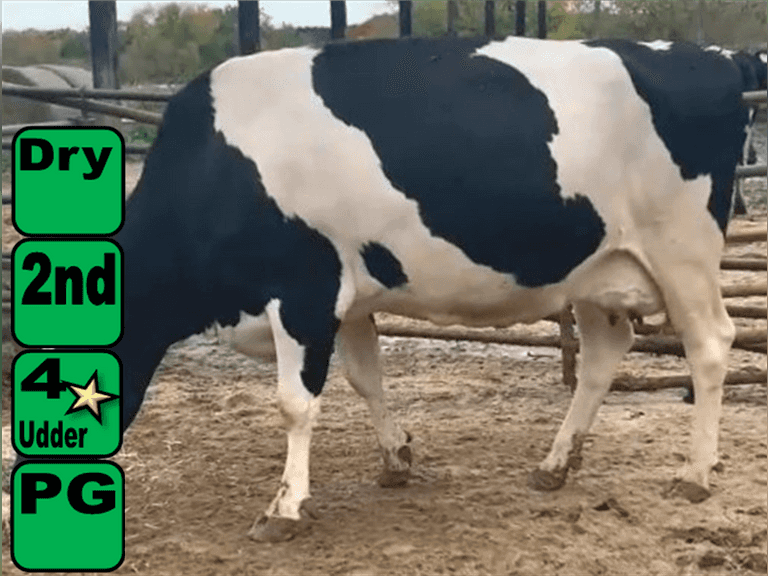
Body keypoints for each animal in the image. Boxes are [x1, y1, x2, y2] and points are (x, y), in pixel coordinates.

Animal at [103, 37, 764, 542]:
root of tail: (708, 56)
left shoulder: (302, 292)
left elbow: (295, 404)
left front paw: (284, 508)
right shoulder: (348, 303)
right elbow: (366, 379)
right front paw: (395, 459)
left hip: (683, 251)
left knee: (710, 345)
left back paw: (695, 474)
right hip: (597, 270)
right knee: (604, 356)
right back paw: (554, 464)